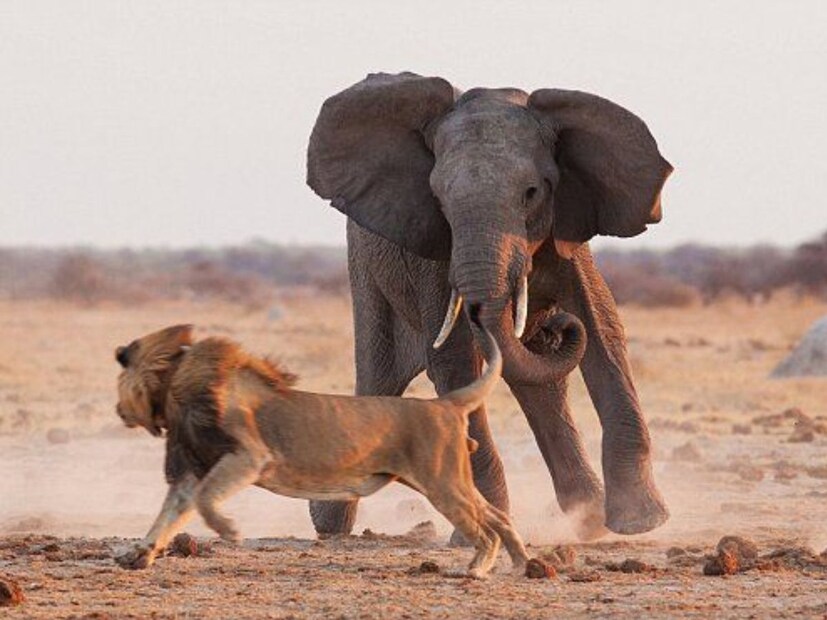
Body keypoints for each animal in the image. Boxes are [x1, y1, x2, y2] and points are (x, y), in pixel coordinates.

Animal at [113, 308, 528, 578]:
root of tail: (443, 402)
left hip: (442, 482)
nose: (118, 409)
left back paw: (476, 569)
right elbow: (171, 511)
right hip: (446, 480)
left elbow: (203, 500)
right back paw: (524, 564)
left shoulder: (248, 456)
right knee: (498, 515)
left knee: (484, 527)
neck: (173, 387)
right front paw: (139, 555)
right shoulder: (192, 466)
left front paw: (229, 531)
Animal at [304, 72, 672, 540]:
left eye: (532, 192)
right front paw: (481, 534)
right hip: (366, 273)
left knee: (542, 385)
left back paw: (586, 520)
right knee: (378, 375)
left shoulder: (569, 233)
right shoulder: (435, 255)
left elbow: (602, 329)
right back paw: (329, 524)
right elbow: (454, 360)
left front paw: (640, 523)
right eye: (439, 200)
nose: (556, 327)